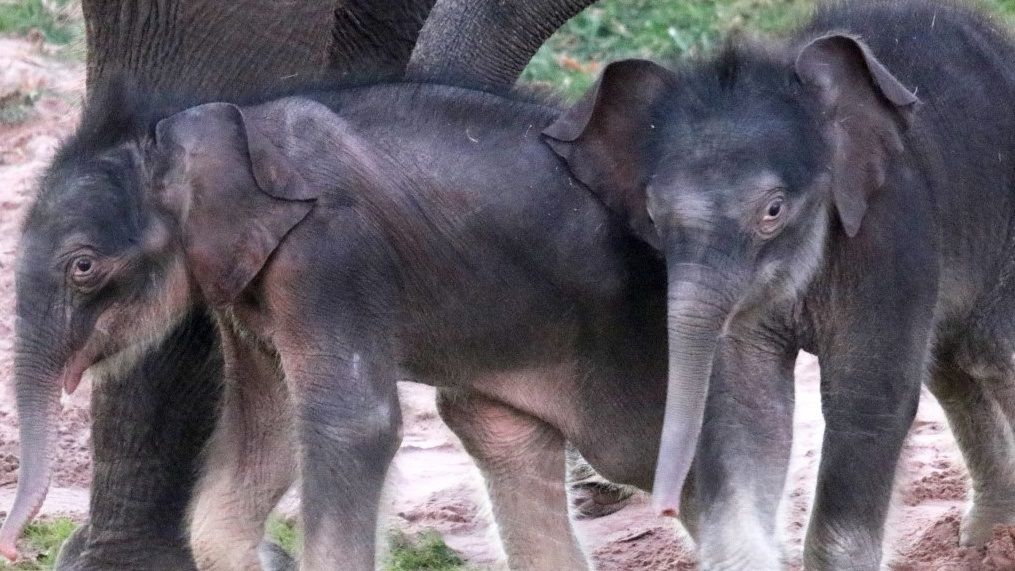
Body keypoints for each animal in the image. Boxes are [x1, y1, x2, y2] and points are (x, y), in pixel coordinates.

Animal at [543, 0, 1015, 568]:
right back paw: (987, 538)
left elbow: (867, 399)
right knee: (952, 363)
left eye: (773, 210)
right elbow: (748, 410)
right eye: (653, 217)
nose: (663, 506)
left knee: (991, 350)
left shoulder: (890, 227)